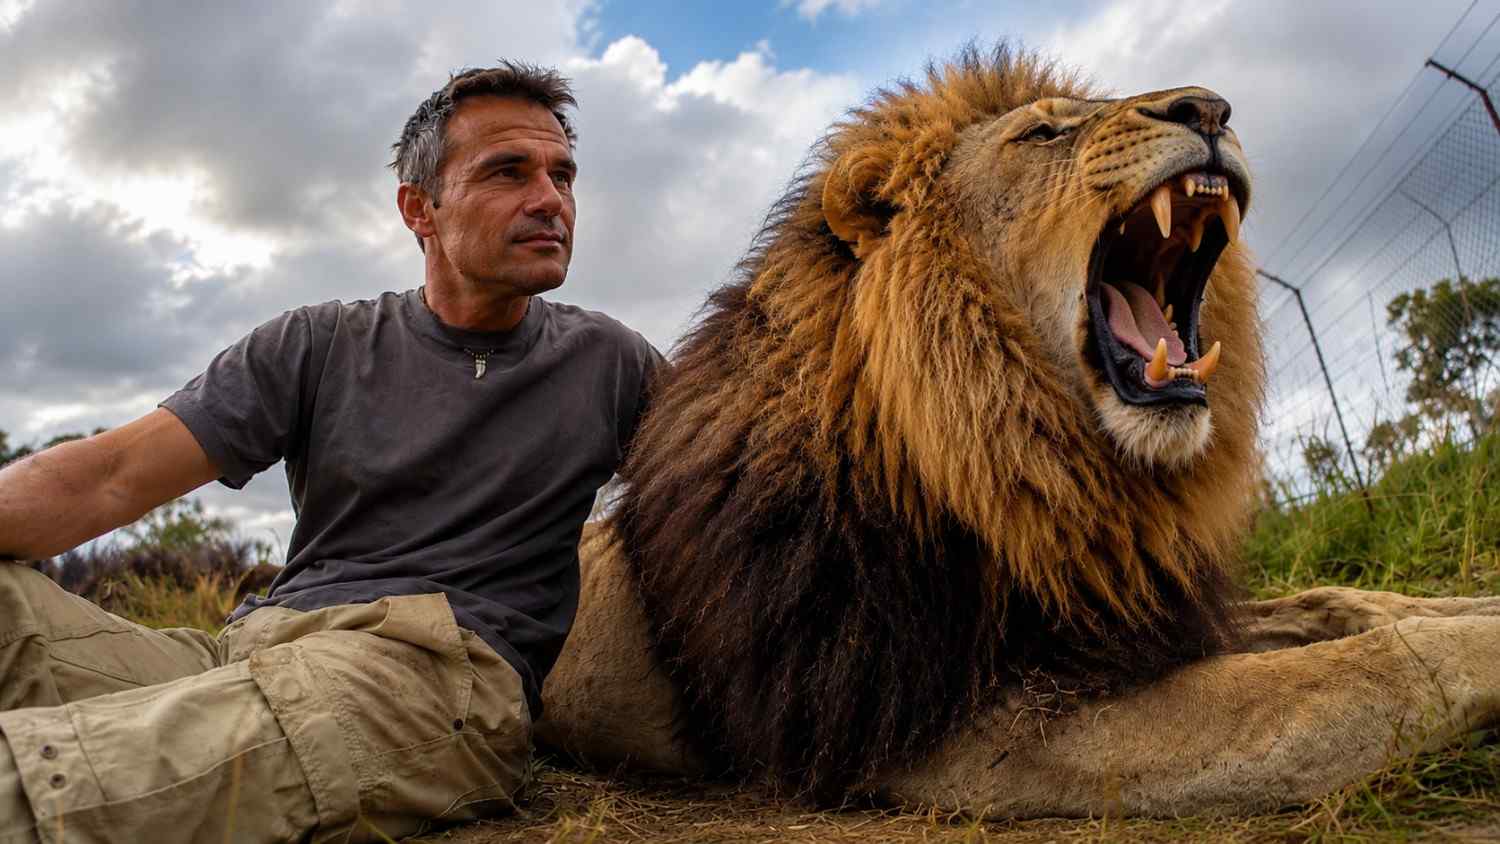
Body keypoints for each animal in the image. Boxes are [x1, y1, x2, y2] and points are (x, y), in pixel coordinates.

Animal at [537, 45, 1500, 817]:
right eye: (1041, 135)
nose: (1210, 109)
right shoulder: (982, 728)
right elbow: (1354, 674)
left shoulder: (1128, 612)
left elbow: (1339, 606)